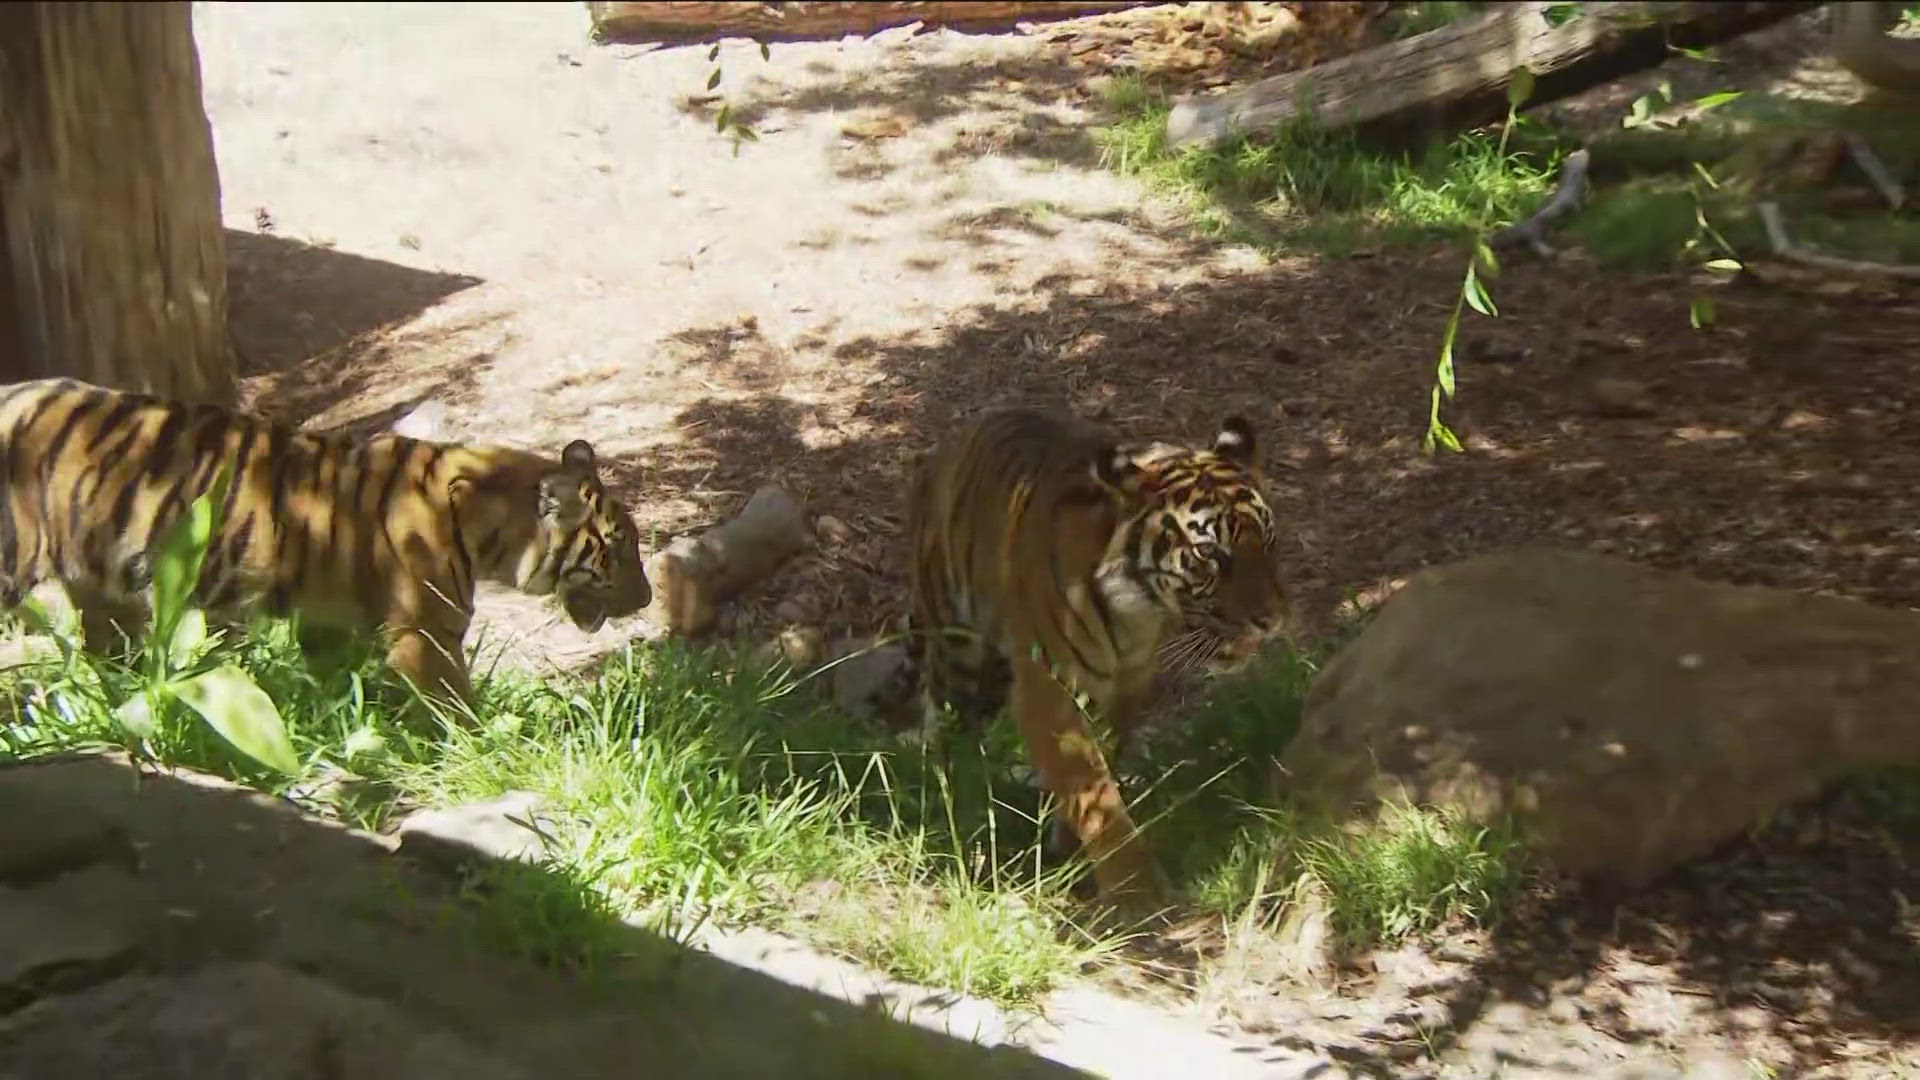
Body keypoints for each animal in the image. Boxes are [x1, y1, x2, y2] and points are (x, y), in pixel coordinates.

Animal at [0, 378, 651, 719]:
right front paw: (487, 748)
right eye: (618, 548)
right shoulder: (426, 636)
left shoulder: (329, 621)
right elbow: (456, 705)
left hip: (103, 589)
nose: (647, 599)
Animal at [904, 406, 1288, 903]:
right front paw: (1138, 892)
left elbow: (1099, 767)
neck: (1138, 611)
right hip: (955, 645)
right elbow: (1094, 791)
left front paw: (1068, 841)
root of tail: (950, 444)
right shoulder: (1048, 688)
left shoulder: (1126, 687)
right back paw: (954, 798)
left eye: (1269, 539)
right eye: (1209, 553)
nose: (1272, 619)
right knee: (946, 724)